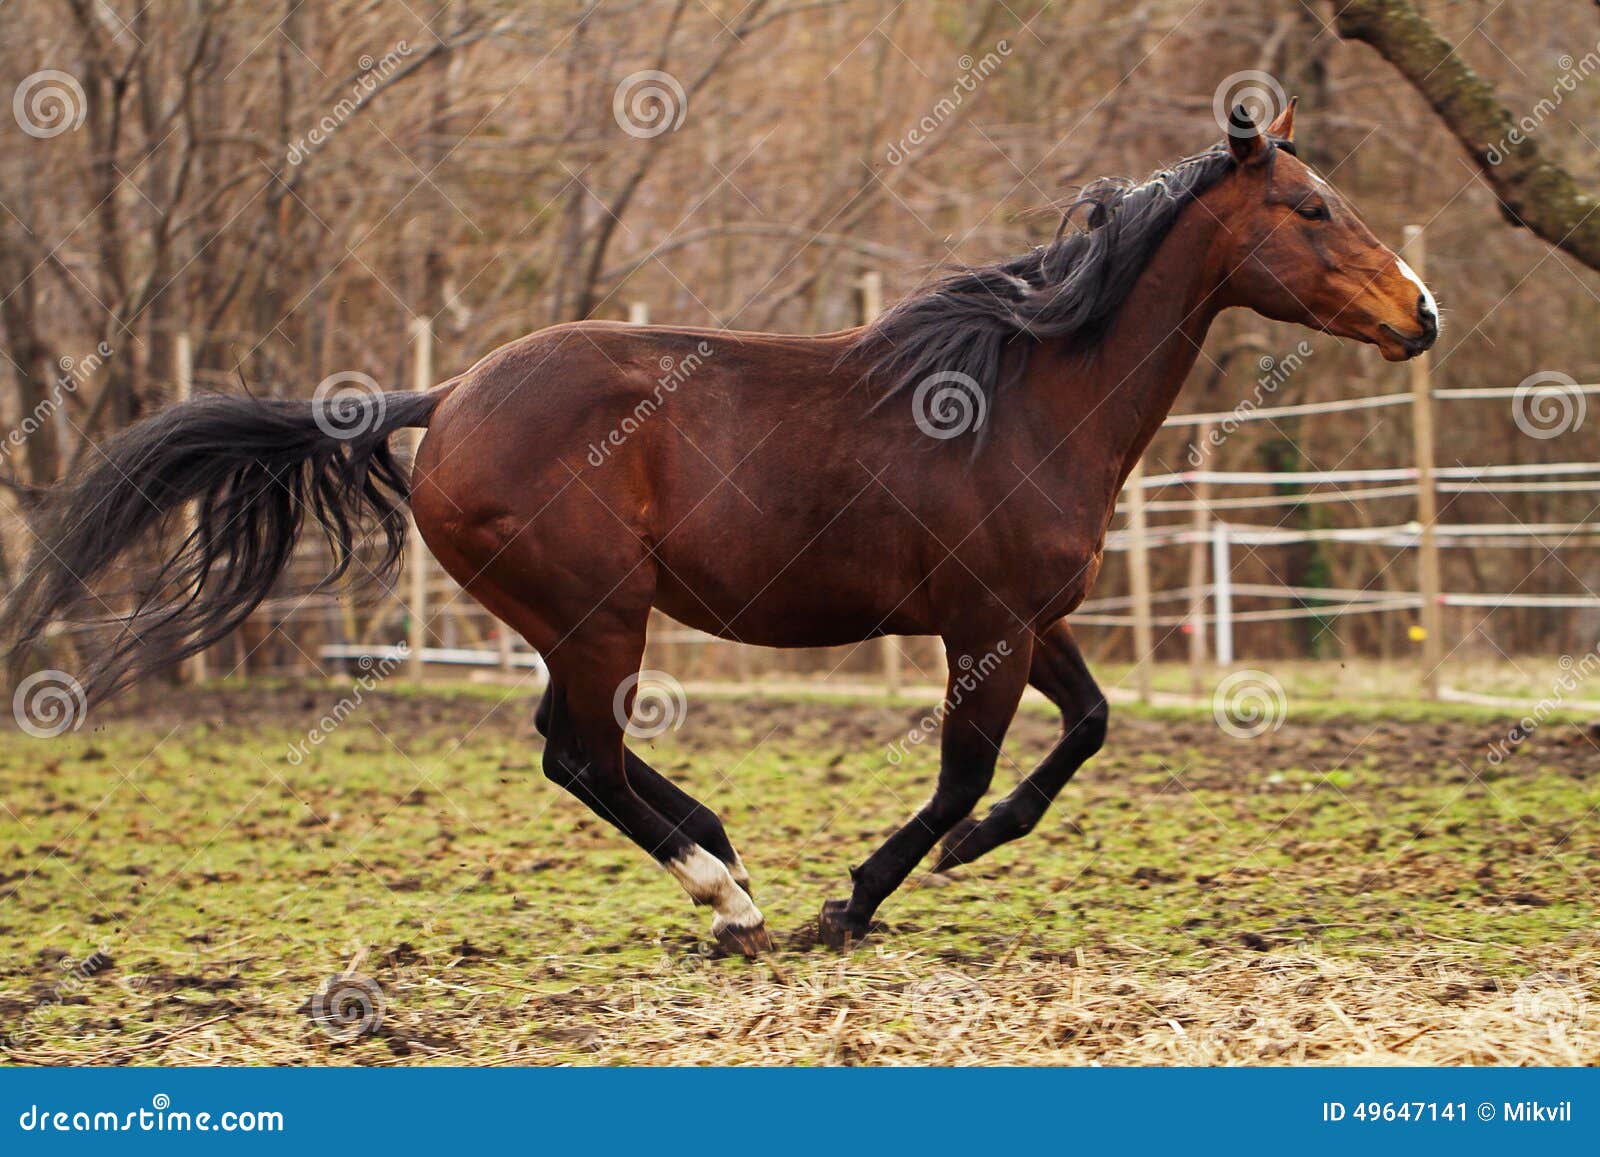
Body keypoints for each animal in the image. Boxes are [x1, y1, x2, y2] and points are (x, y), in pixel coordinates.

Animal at [3, 101, 1437, 956]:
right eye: (1312, 209)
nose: (1420, 311)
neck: (1034, 395)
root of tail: (446, 396)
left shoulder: (1034, 618)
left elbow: (1084, 728)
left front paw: (960, 854)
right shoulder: (980, 627)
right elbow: (963, 772)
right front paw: (853, 900)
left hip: (577, 621)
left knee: (575, 749)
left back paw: (726, 860)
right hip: (598, 614)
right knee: (579, 753)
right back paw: (731, 892)